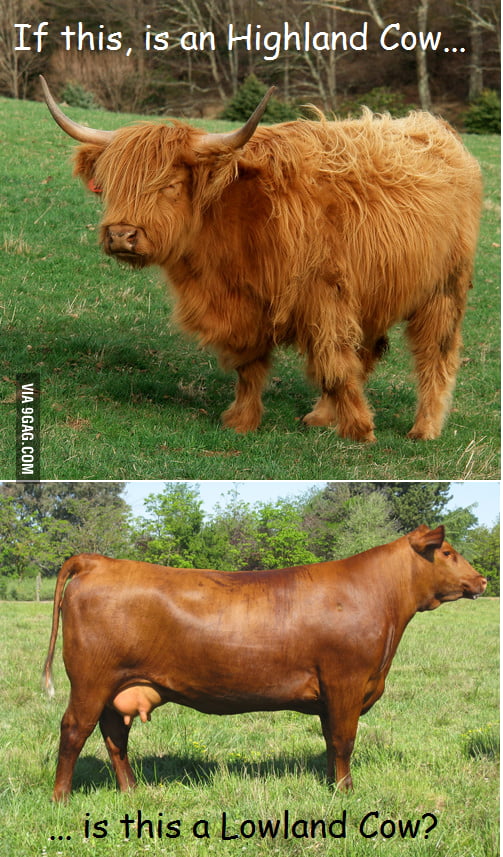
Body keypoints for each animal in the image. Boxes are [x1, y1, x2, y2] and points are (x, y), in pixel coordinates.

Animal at [39, 76, 482, 440]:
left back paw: (424, 428)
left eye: (170, 185)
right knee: (368, 351)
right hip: (376, 289)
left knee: (434, 355)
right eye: (111, 185)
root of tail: (435, 129)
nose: (121, 235)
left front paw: (360, 430)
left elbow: (335, 365)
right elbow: (251, 367)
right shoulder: (246, 307)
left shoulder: (326, 297)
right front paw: (242, 421)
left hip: (444, 289)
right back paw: (321, 416)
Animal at [42, 525, 486, 801]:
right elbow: (345, 740)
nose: (482, 580)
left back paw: (131, 790)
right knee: (74, 730)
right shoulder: (346, 681)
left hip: (117, 685)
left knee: (115, 735)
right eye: (448, 552)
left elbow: (330, 741)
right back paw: (61, 798)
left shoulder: (331, 695)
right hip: (90, 679)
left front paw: (331, 785)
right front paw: (347, 792)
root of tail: (98, 560)